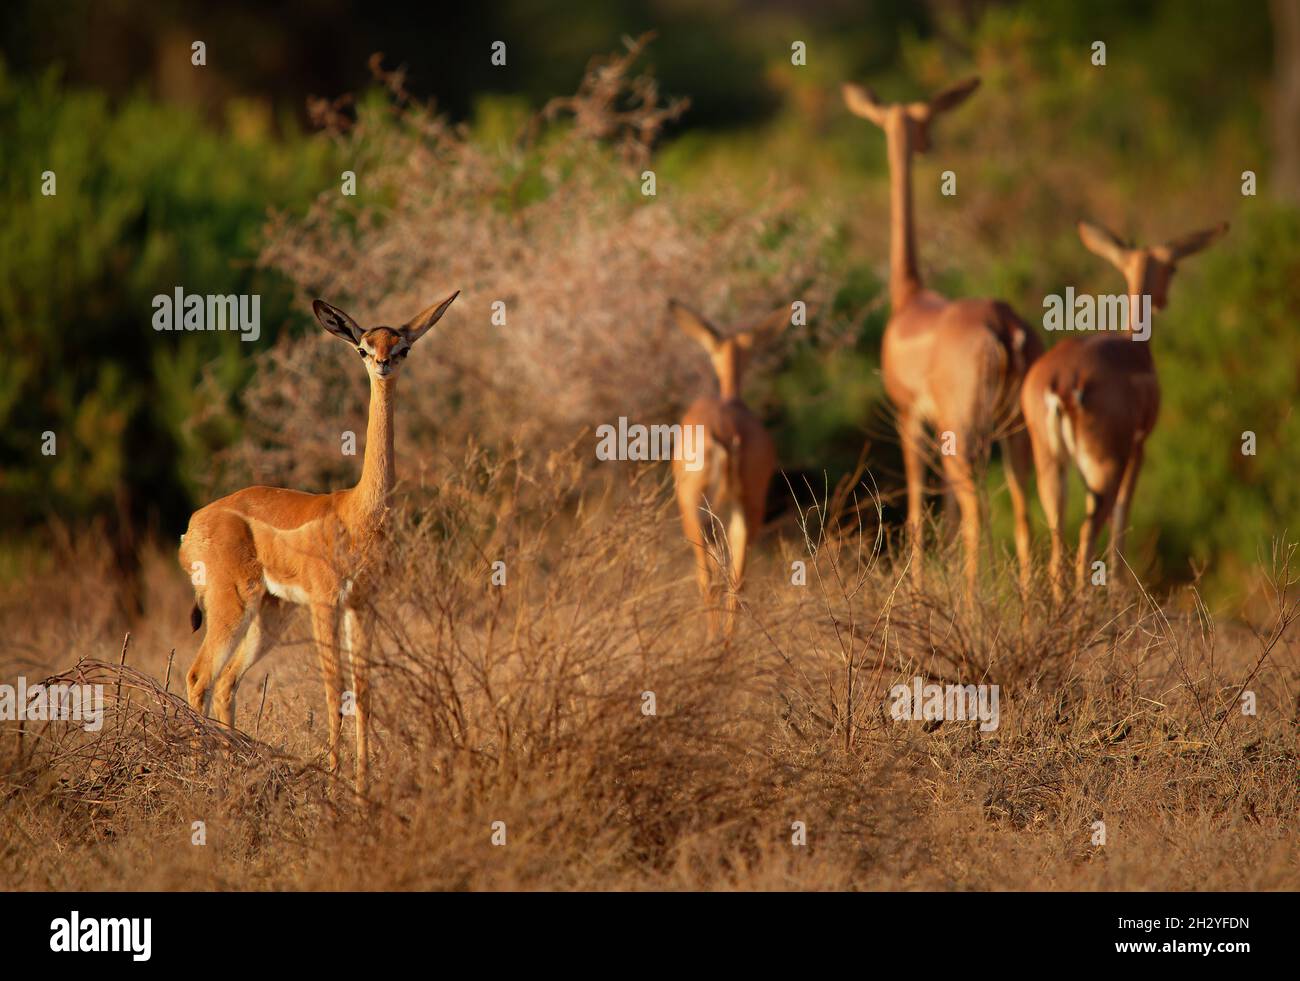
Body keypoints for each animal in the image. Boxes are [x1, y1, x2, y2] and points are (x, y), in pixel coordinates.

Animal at [180, 292, 460, 794]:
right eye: (363, 348)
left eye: (403, 347)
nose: (383, 365)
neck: (358, 512)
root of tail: (193, 526)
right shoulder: (326, 603)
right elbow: (334, 692)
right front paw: (334, 782)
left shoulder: (362, 605)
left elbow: (364, 692)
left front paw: (364, 790)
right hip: (234, 605)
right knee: (199, 676)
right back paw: (200, 779)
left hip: (272, 613)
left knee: (226, 681)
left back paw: (230, 770)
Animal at [843, 76, 1042, 596]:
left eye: (924, 120)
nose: (926, 143)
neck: (909, 297)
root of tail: (1004, 327)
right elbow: (946, 516)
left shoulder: (910, 420)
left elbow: (917, 513)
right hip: (1014, 433)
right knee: (1025, 516)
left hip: (965, 432)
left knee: (976, 513)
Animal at [1021, 220, 1227, 597]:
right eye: (1173, 267)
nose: (1163, 301)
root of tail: (1063, 382)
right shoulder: (1138, 448)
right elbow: (1123, 514)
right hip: (1105, 465)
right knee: (1087, 540)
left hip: (1051, 465)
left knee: (1058, 548)